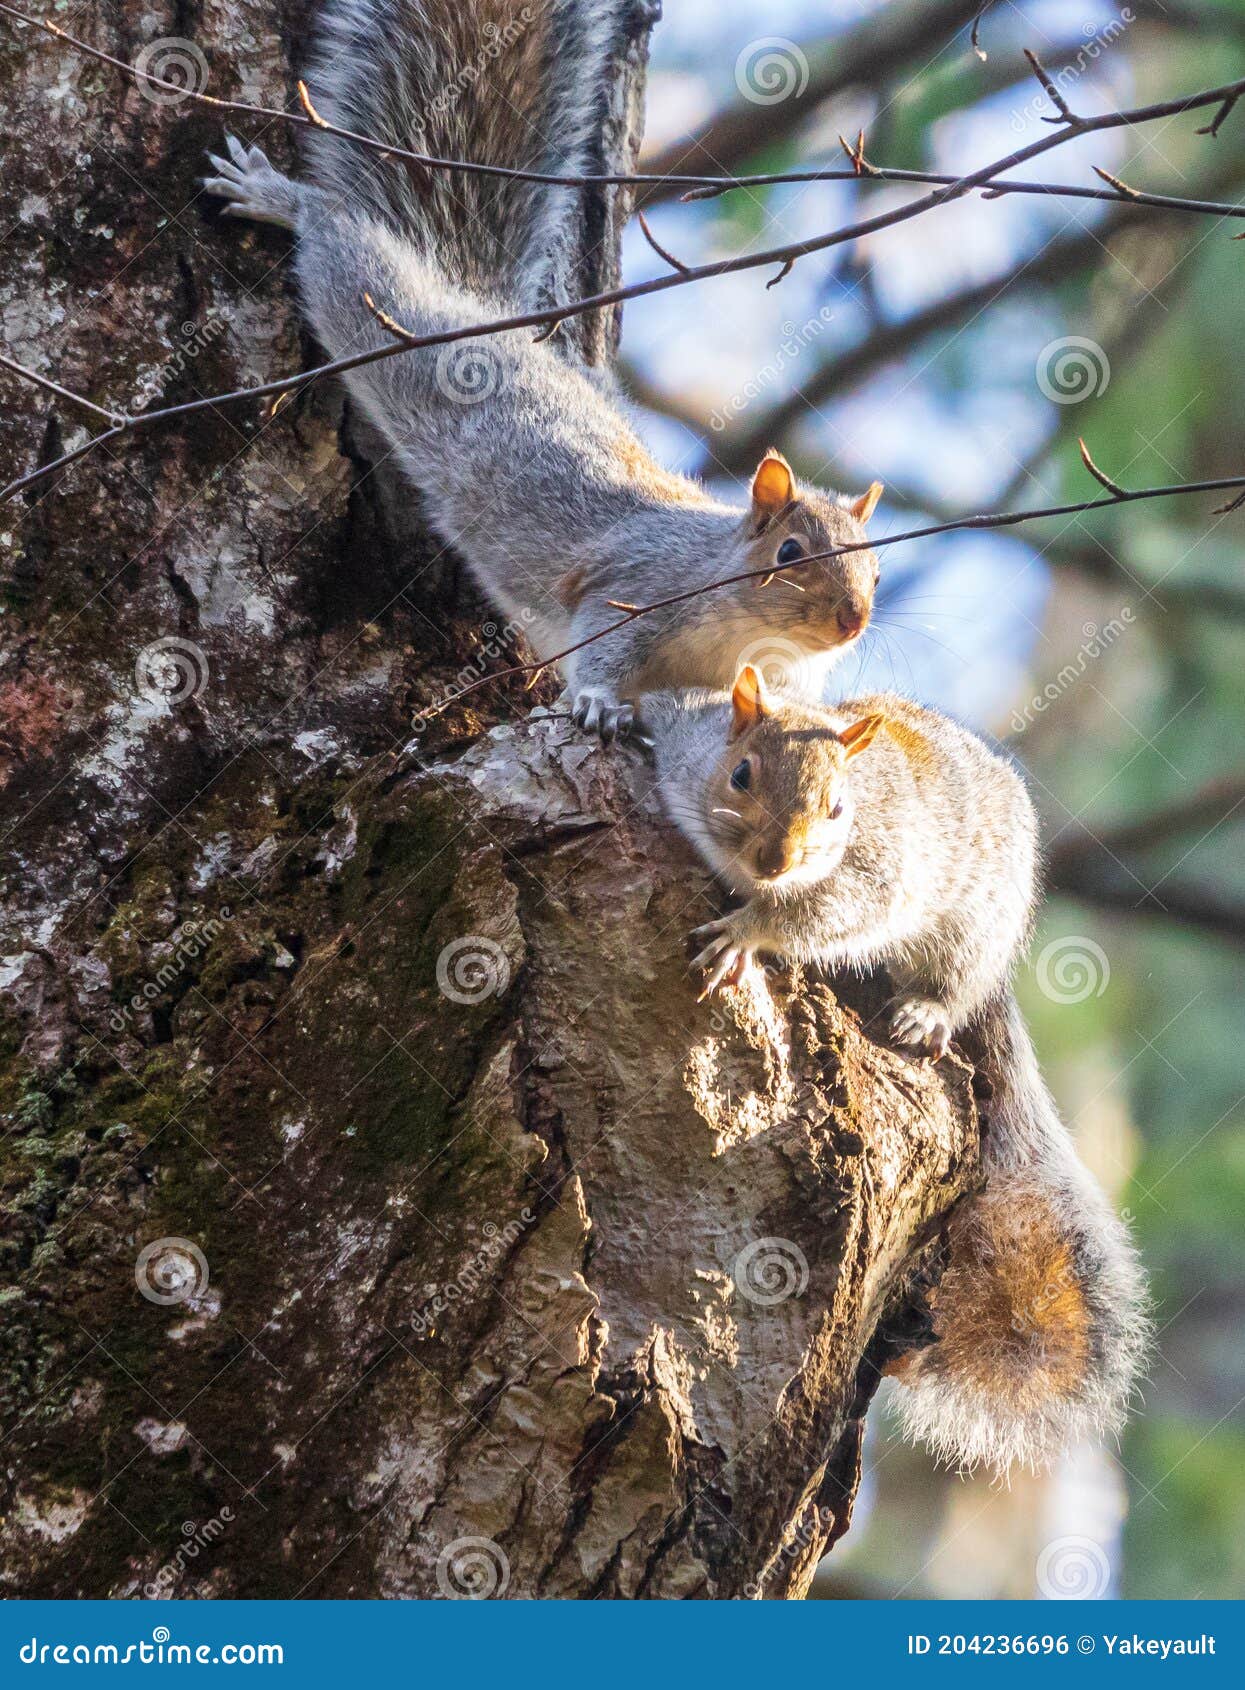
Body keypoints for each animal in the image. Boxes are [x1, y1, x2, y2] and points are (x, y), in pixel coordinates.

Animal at [202, 0, 883, 739]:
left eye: (876, 570)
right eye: (789, 553)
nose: (852, 622)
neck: (749, 638)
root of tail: (483, 313)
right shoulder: (634, 590)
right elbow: (603, 649)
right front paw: (598, 702)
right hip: (384, 321)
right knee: (340, 246)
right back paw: (277, 197)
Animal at [641, 665, 1149, 1473]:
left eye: (838, 807)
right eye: (741, 773)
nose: (775, 862)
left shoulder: (871, 871)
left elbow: (822, 914)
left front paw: (748, 933)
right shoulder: (690, 735)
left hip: (974, 925)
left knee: (951, 978)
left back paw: (927, 1013)